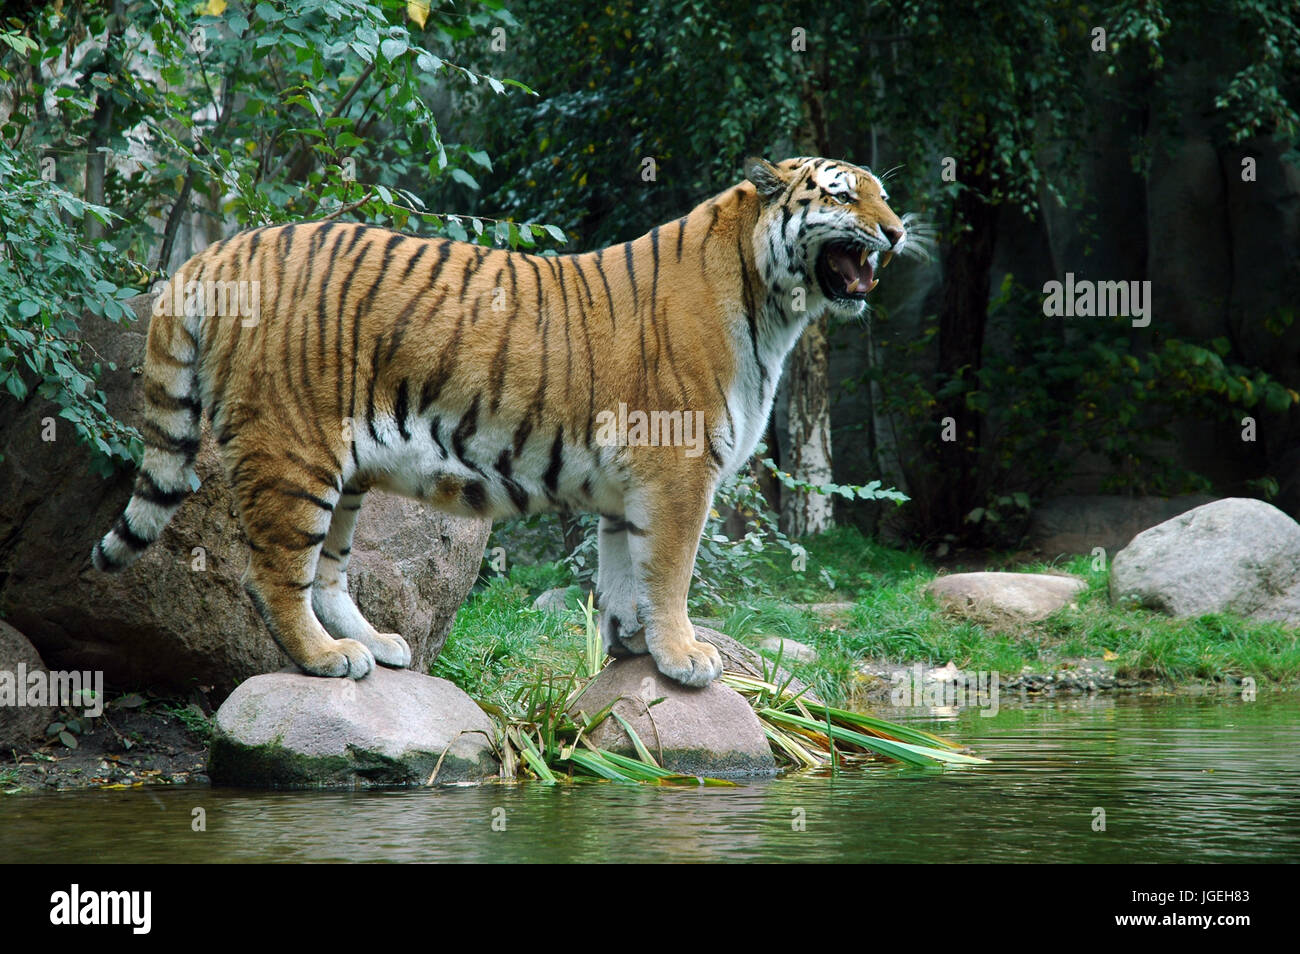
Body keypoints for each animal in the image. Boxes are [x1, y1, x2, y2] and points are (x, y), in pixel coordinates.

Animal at [92, 156, 911, 687]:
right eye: (845, 197)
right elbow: (672, 571)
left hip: (344, 468)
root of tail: (218, 250)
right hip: (293, 449)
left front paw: (633, 648)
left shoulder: (631, 488)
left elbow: (624, 571)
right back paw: (326, 659)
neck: (774, 306)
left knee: (328, 571)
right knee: (272, 575)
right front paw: (685, 658)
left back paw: (376, 645)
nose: (900, 232)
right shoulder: (678, 471)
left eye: (884, 196)